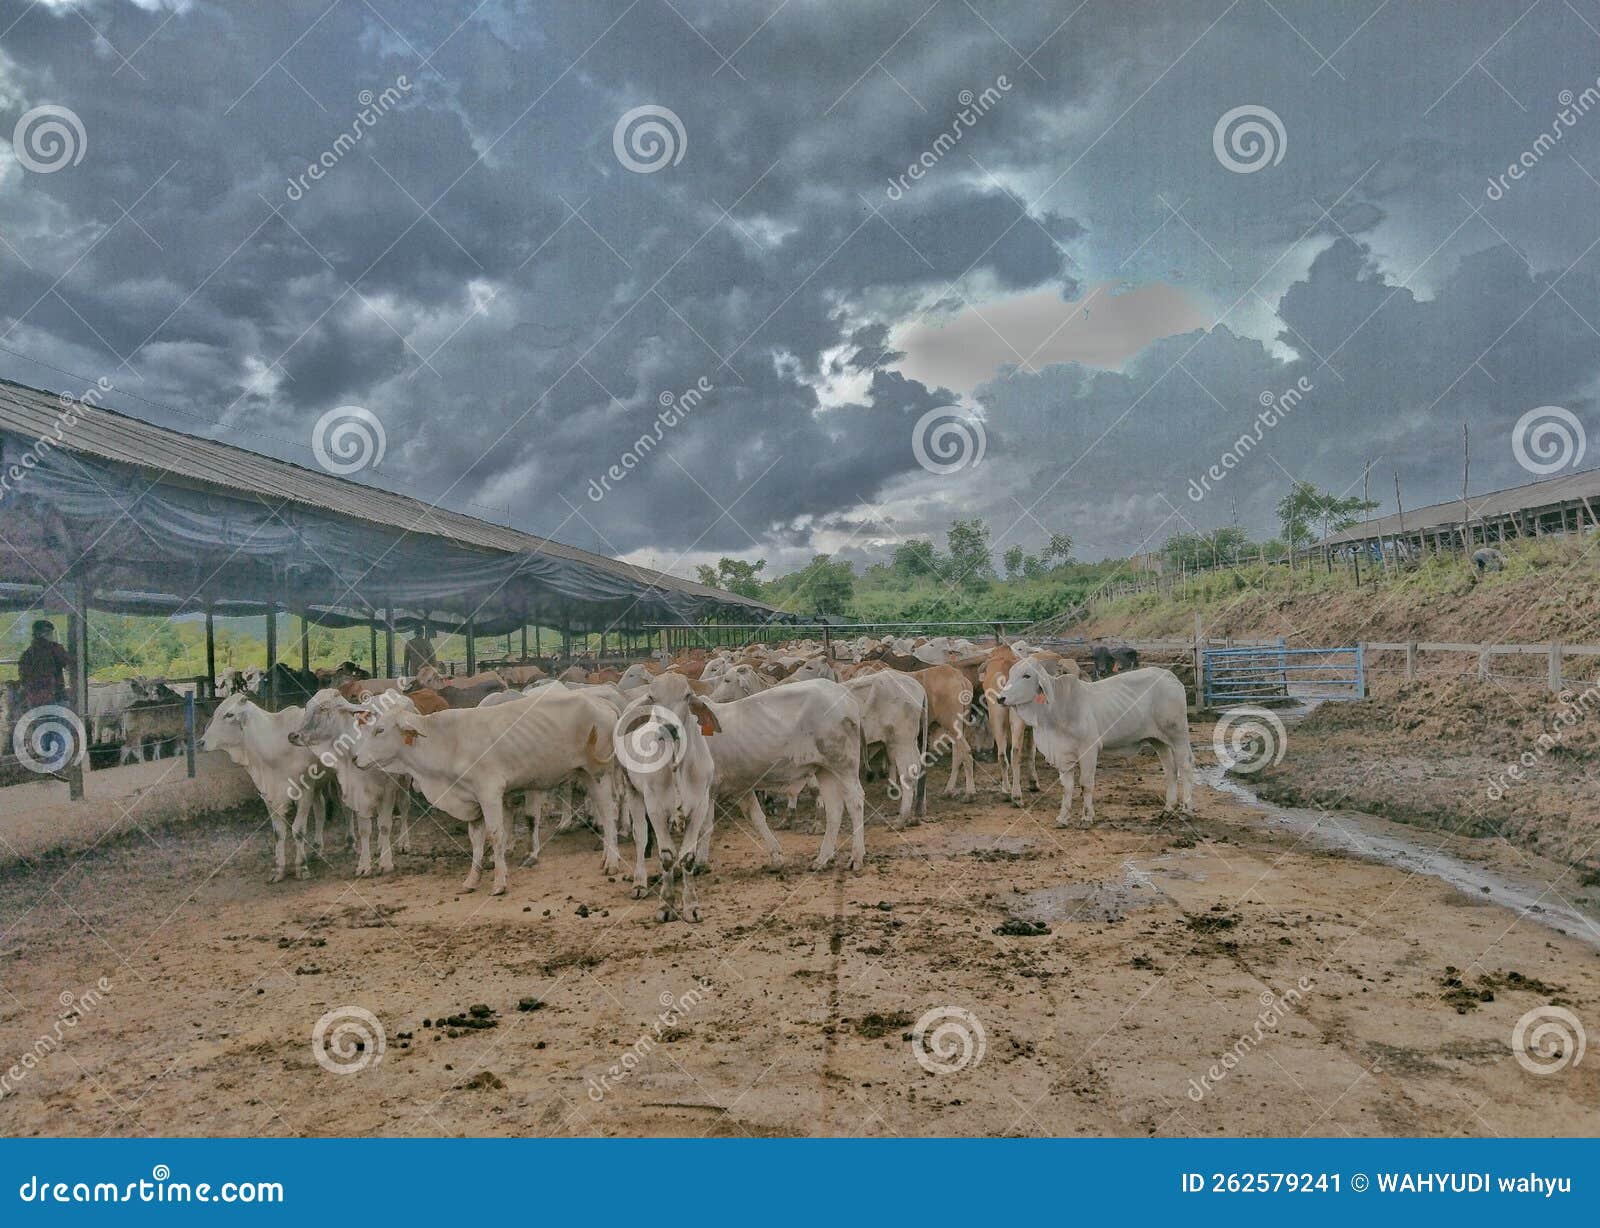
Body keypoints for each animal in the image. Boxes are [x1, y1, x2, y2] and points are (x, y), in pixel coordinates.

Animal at [199, 694, 334, 882]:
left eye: (229, 714)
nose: (201, 742)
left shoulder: (305, 791)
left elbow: (298, 830)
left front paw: (301, 867)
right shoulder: (269, 795)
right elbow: (278, 832)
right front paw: (278, 870)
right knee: (321, 810)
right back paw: (318, 849)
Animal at [351, 686, 625, 894]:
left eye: (380, 730)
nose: (355, 758)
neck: (447, 743)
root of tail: (601, 702)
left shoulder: (489, 793)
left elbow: (495, 835)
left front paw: (499, 882)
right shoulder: (471, 802)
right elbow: (476, 840)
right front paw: (472, 880)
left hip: (600, 774)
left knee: (609, 811)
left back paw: (612, 862)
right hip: (586, 775)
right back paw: (606, 856)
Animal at [616, 673, 865, 923]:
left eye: (687, 695)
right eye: (651, 697)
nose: (668, 728)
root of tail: (845, 695)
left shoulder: (708, 792)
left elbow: (706, 827)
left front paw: (699, 864)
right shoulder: (735, 788)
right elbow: (754, 817)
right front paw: (775, 857)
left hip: (844, 763)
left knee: (855, 802)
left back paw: (856, 857)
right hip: (825, 769)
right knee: (834, 809)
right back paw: (822, 859)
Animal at [998, 657, 1193, 825]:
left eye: (1027, 675)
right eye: (1011, 673)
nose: (1001, 698)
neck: (1057, 709)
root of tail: (1169, 676)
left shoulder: (1089, 750)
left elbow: (1086, 783)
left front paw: (1087, 817)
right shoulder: (1063, 754)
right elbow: (1067, 786)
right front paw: (1063, 817)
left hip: (1178, 735)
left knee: (1185, 767)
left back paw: (1187, 808)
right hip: (1158, 740)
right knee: (1170, 770)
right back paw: (1168, 808)